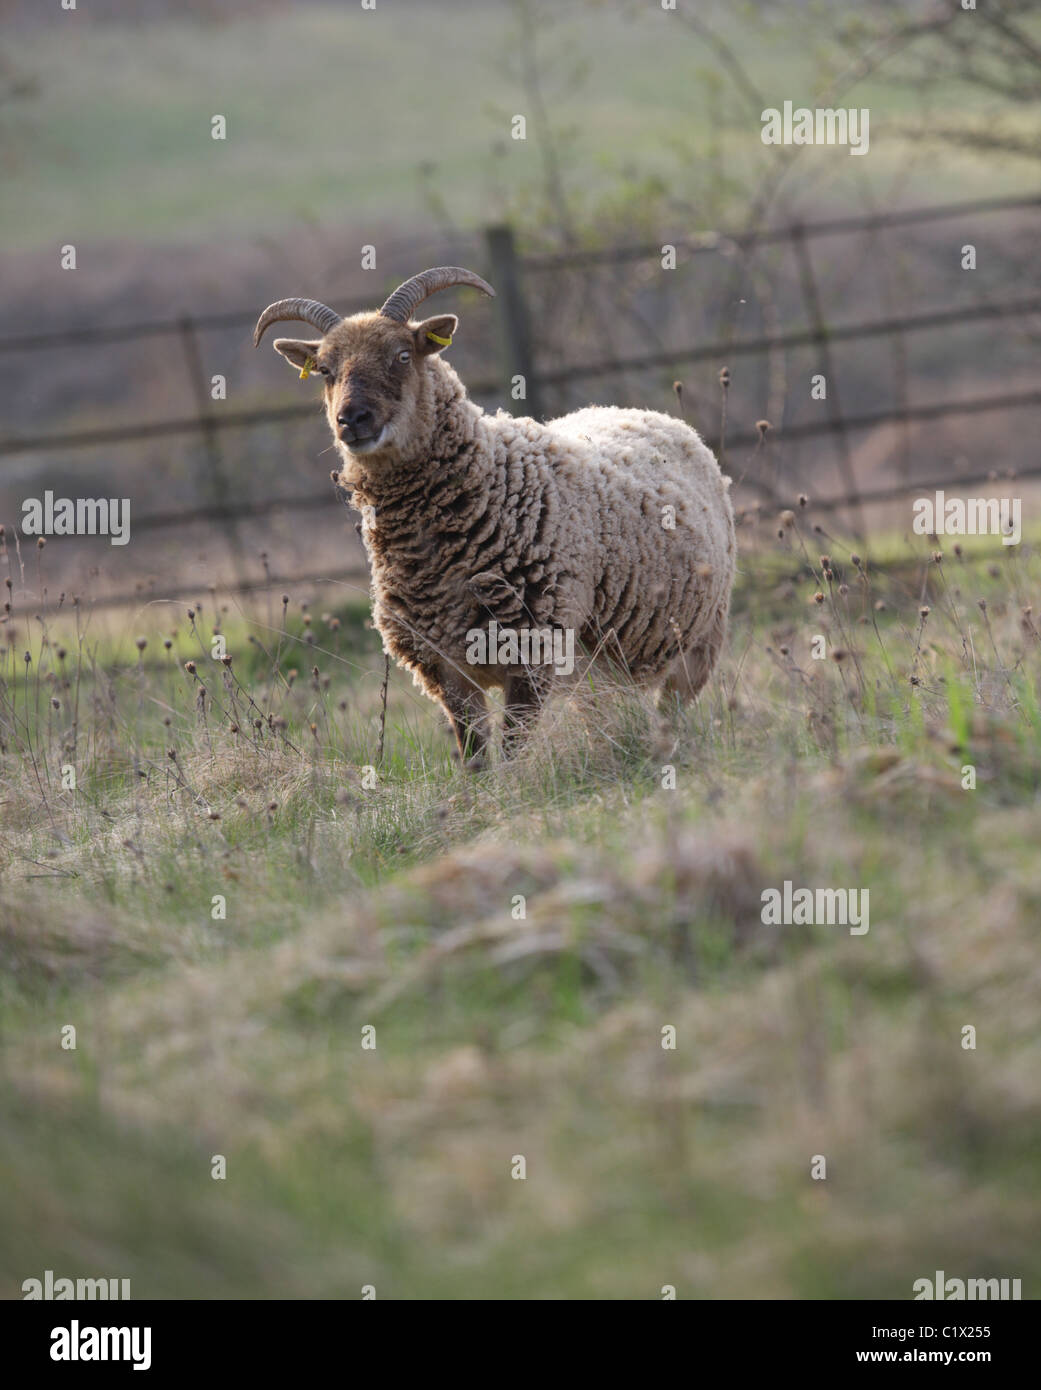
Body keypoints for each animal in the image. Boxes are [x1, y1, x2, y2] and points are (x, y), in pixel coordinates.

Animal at [254, 267, 735, 764]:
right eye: (325, 371)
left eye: (403, 355)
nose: (352, 419)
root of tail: (645, 414)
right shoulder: (445, 666)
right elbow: (475, 756)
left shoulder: (533, 649)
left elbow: (516, 749)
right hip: (602, 667)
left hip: (699, 638)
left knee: (671, 710)